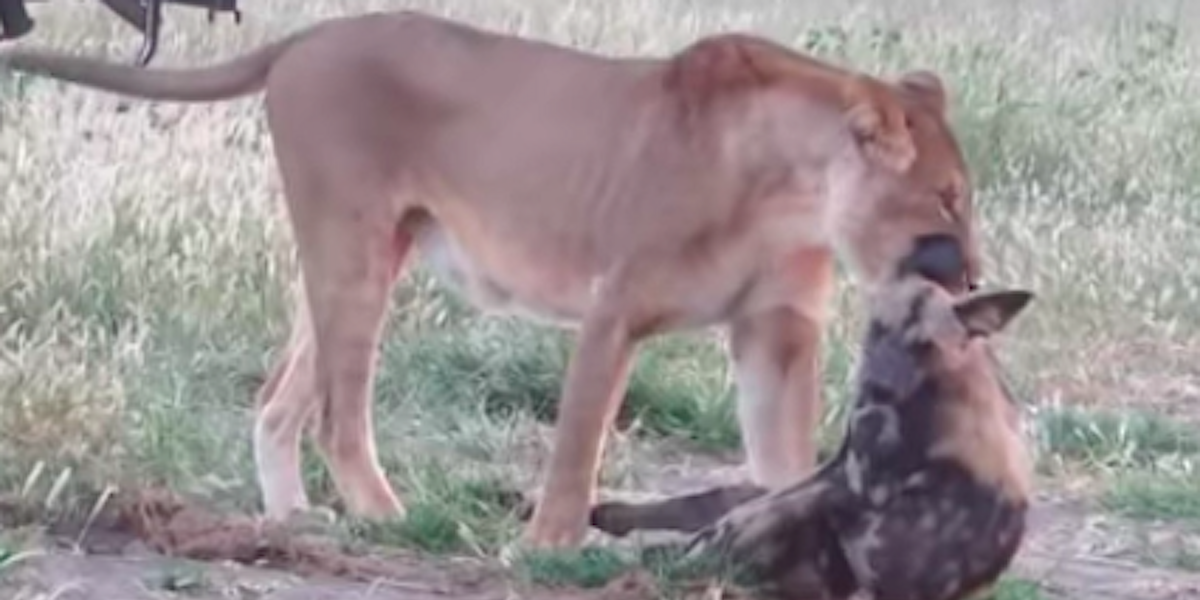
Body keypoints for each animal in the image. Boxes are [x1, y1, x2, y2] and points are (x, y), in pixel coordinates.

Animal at [0, 10, 983, 548]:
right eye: (948, 198)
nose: (976, 277)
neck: (796, 192)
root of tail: (309, 36)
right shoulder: (616, 308)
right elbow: (577, 446)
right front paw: (545, 550)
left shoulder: (777, 332)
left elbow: (783, 464)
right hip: (353, 246)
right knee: (336, 413)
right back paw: (388, 518)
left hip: (368, 251)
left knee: (282, 398)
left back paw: (293, 522)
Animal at [590, 274, 1034, 600]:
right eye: (879, 330)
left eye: (925, 344)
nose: (880, 386)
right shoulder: (837, 471)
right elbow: (727, 510)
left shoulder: (852, 484)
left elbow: (738, 521)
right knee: (724, 504)